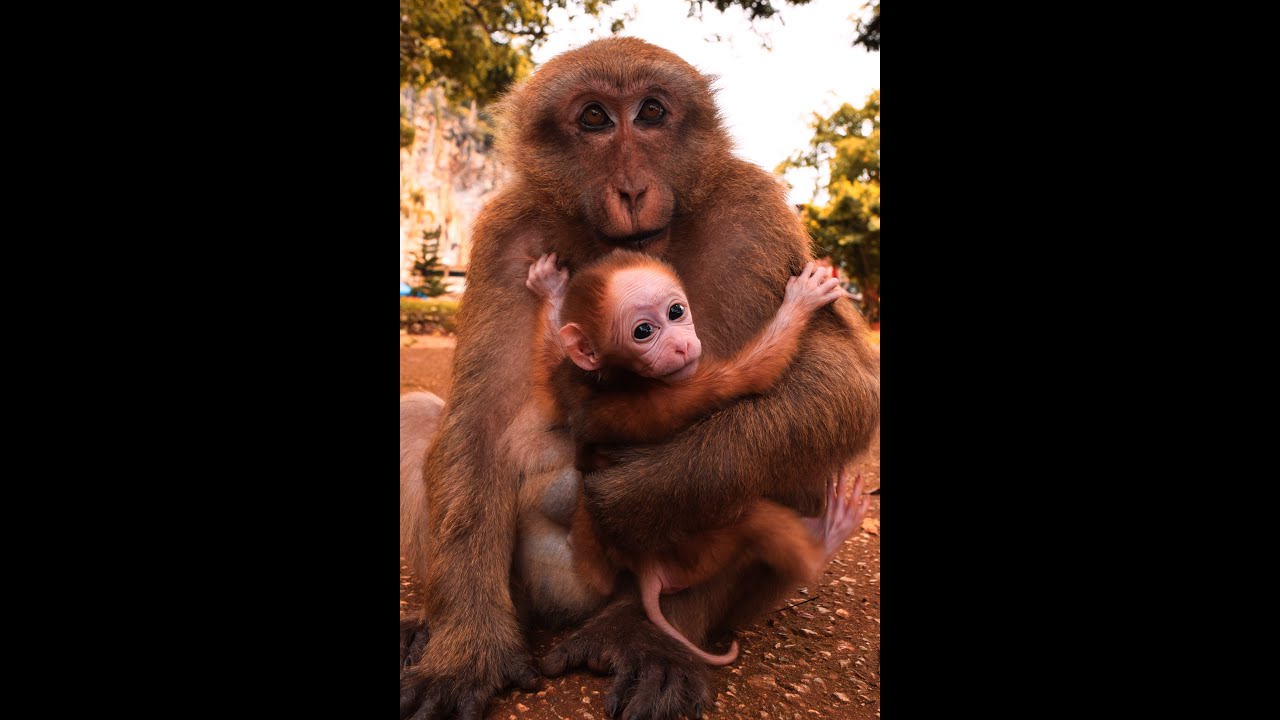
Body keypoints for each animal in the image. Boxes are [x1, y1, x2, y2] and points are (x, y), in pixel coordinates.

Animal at [522, 249, 866, 665]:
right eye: (643, 331)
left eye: (676, 311)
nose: (681, 346)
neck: (617, 376)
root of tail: (648, 572)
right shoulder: (673, 390)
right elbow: (751, 376)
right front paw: (802, 300)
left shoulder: (571, 380)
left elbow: (550, 371)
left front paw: (550, 290)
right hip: (703, 553)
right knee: (758, 520)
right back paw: (825, 540)